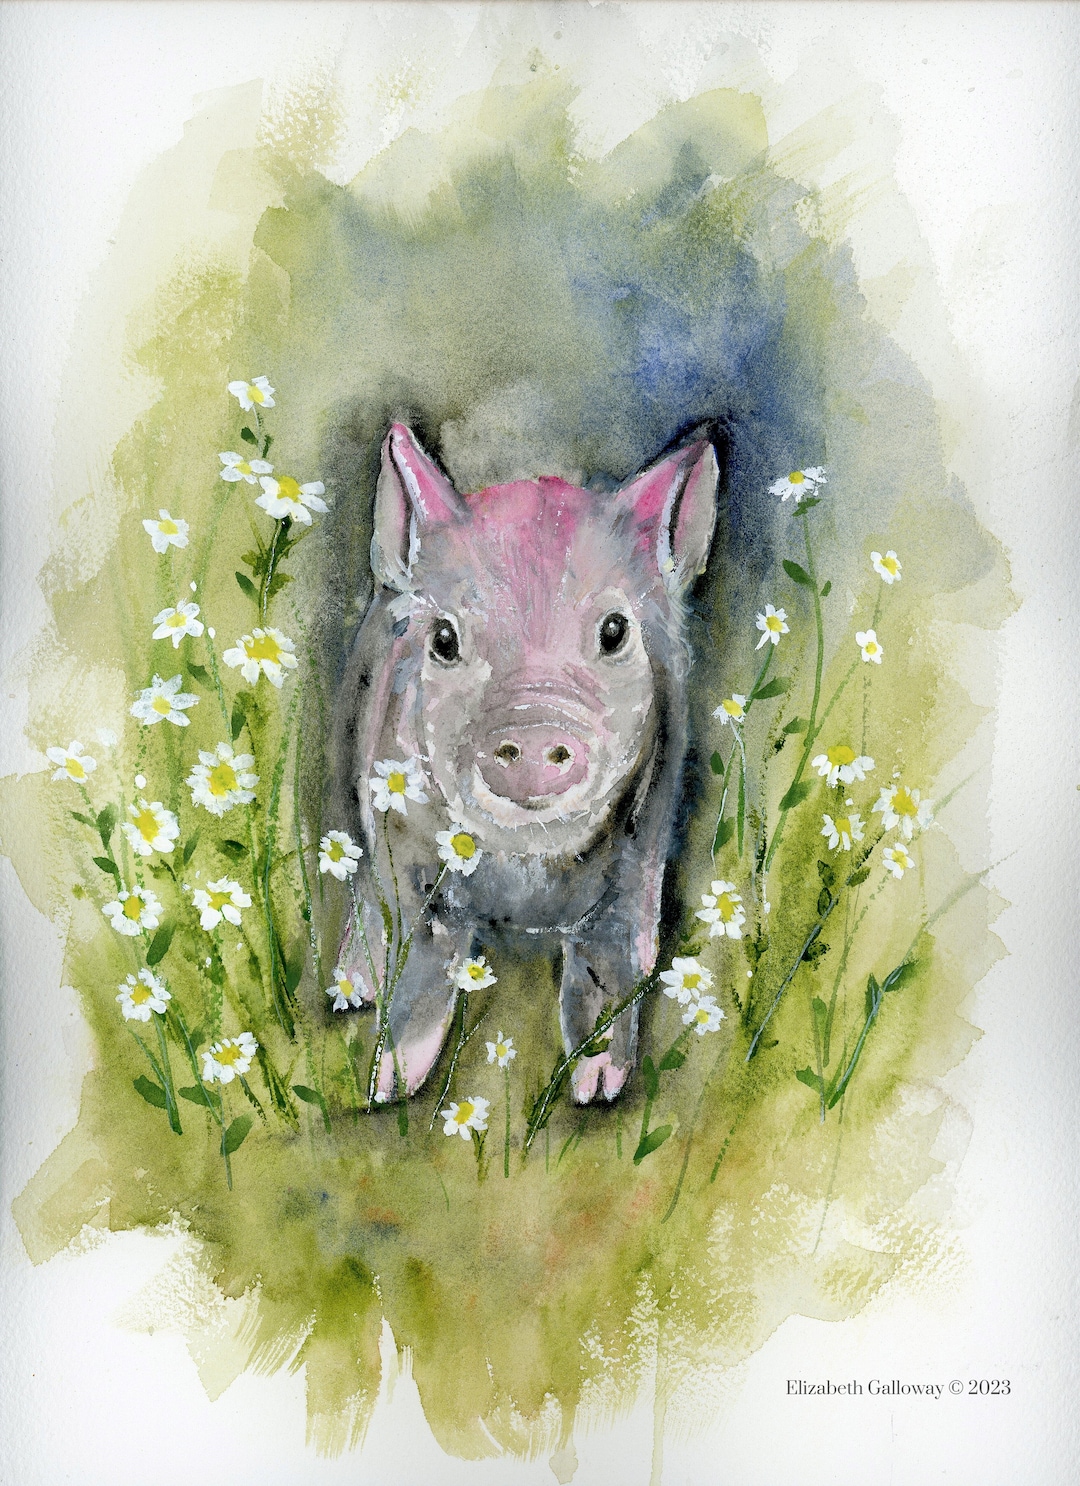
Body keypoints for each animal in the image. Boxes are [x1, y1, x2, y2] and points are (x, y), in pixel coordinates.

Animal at [332, 423, 718, 1104]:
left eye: (614, 630)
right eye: (445, 639)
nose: (533, 733)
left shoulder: (643, 838)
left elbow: (609, 958)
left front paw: (597, 1088)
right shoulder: (397, 830)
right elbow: (423, 955)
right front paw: (389, 1090)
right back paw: (352, 995)